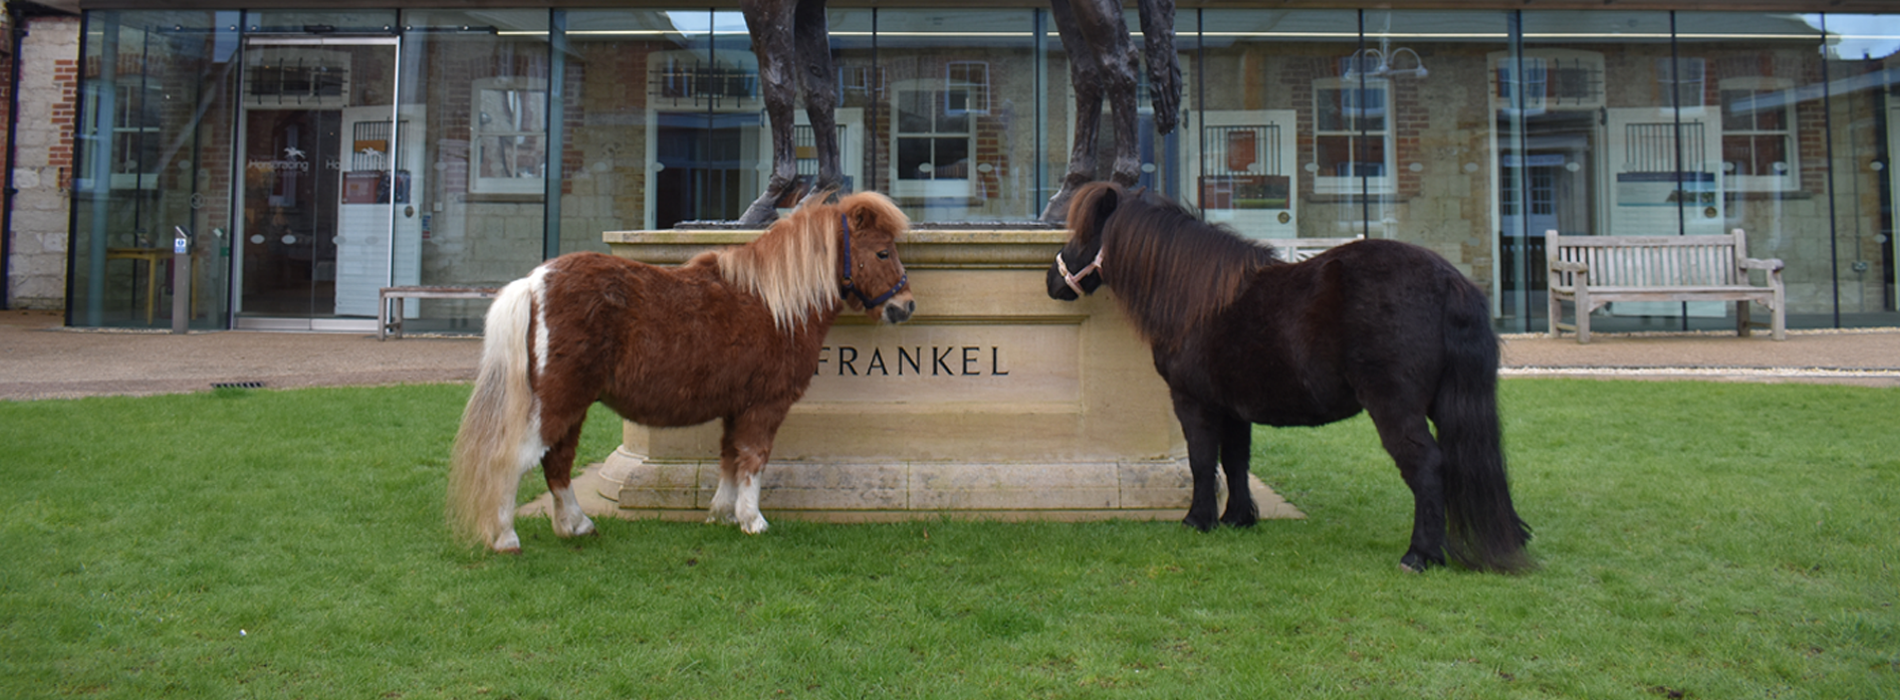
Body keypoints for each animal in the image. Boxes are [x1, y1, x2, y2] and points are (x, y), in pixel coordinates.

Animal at [447, 192, 915, 553]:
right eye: (882, 252)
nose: (905, 306)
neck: (773, 303)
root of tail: (533, 282)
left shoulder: (735, 406)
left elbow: (729, 457)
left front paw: (722, 514)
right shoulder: (764, 404)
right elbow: (754, 458)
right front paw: (753, 520)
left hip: (570, 406)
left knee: (556, 463)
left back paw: (576, 525)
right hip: (558, 401)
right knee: (514, 457)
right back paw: (505, 537)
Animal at [1045, 182, 1531, 573]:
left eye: (1084, 234)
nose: (1053, 280)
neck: (1196, 298)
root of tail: (1449, 280)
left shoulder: (1194, 402)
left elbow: (1203, 461)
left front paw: (1197, 520)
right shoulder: (1233, 408)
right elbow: (1235, 461)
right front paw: (1238, 519)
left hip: (1395, 407)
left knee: (1428, 466)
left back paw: (1420, 555)